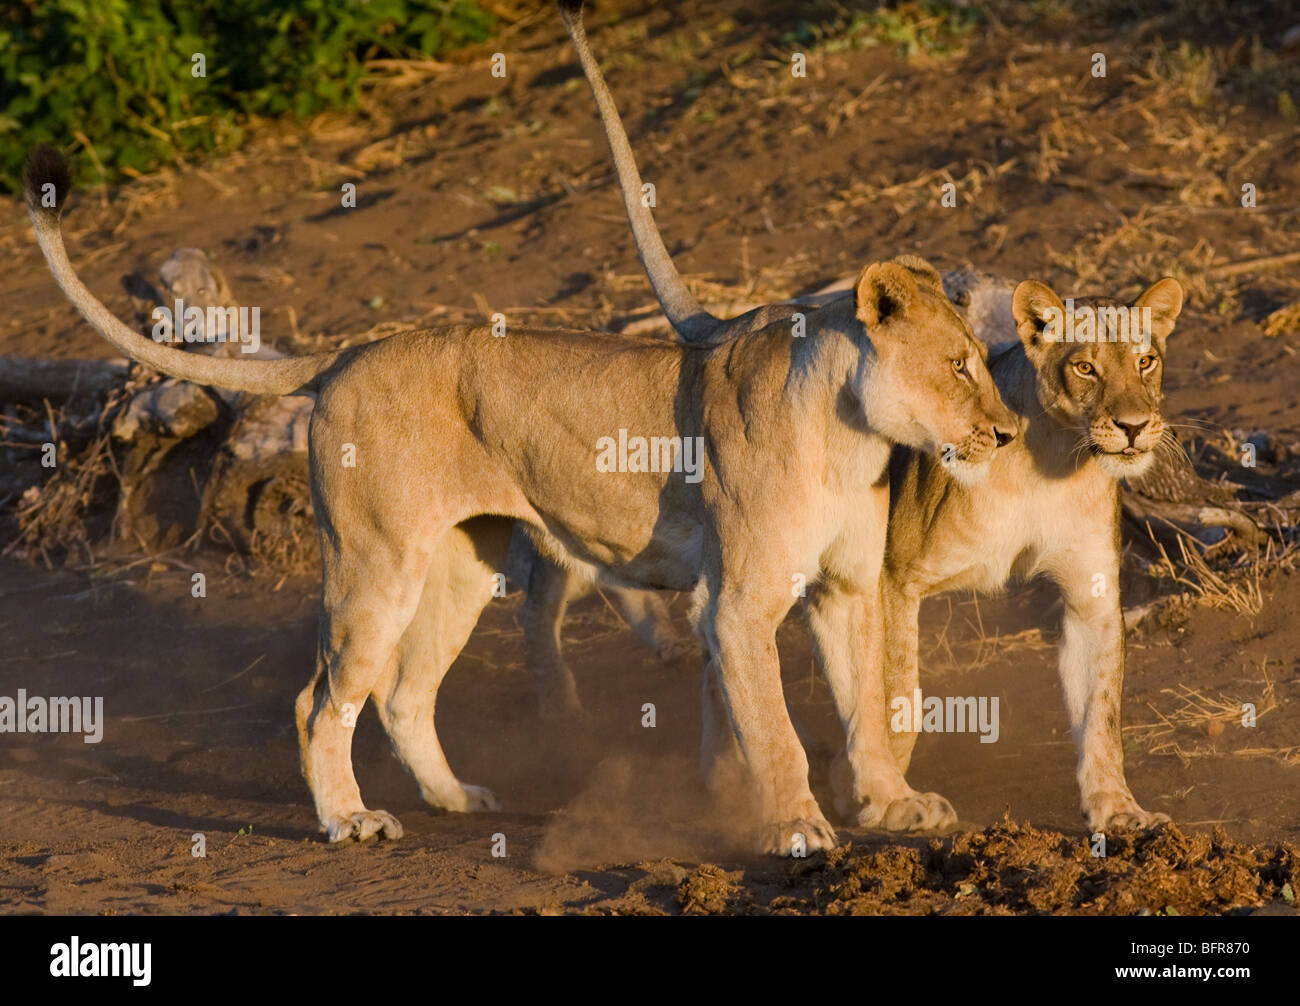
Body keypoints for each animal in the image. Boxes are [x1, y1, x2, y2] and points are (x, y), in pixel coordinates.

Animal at [27, 145, 1015, 854]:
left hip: (463, 563)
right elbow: (775, 728)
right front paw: (797, 827)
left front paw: (891, 804)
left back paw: (455, 798)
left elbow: (866, 711)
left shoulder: (844, 590)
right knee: (322, 701)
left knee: (403, 692)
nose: (1008, 434)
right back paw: (349, 820)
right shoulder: (737, 602)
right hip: (375, 560)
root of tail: (349, 351)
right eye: (959, 365)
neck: (854, 435)